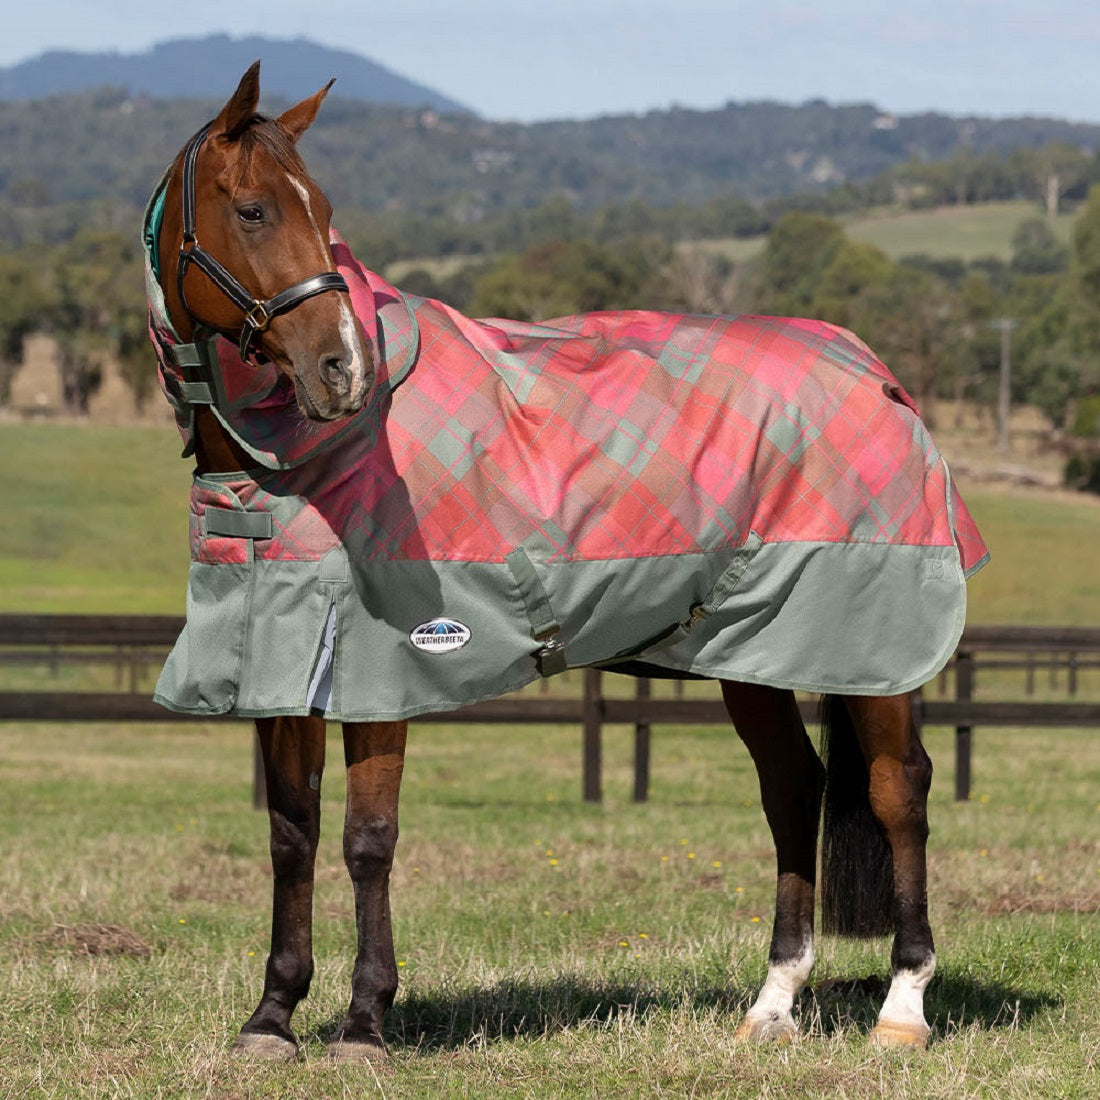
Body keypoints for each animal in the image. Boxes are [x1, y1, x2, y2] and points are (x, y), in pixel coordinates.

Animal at [144, 62, 988, 1062]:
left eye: (322, 209)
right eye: (253, 210)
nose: (339, 369)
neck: (303, 467)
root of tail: (874, 374)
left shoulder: (385, 671)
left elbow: (368, 838)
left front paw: (364, 1022)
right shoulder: (286, 660)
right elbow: (291, 833)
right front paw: (272, 1016)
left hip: (873, 649)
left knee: (900, 792)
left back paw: (903, 1008)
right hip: (755, 650)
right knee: (794, 788)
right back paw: (772, 1004)